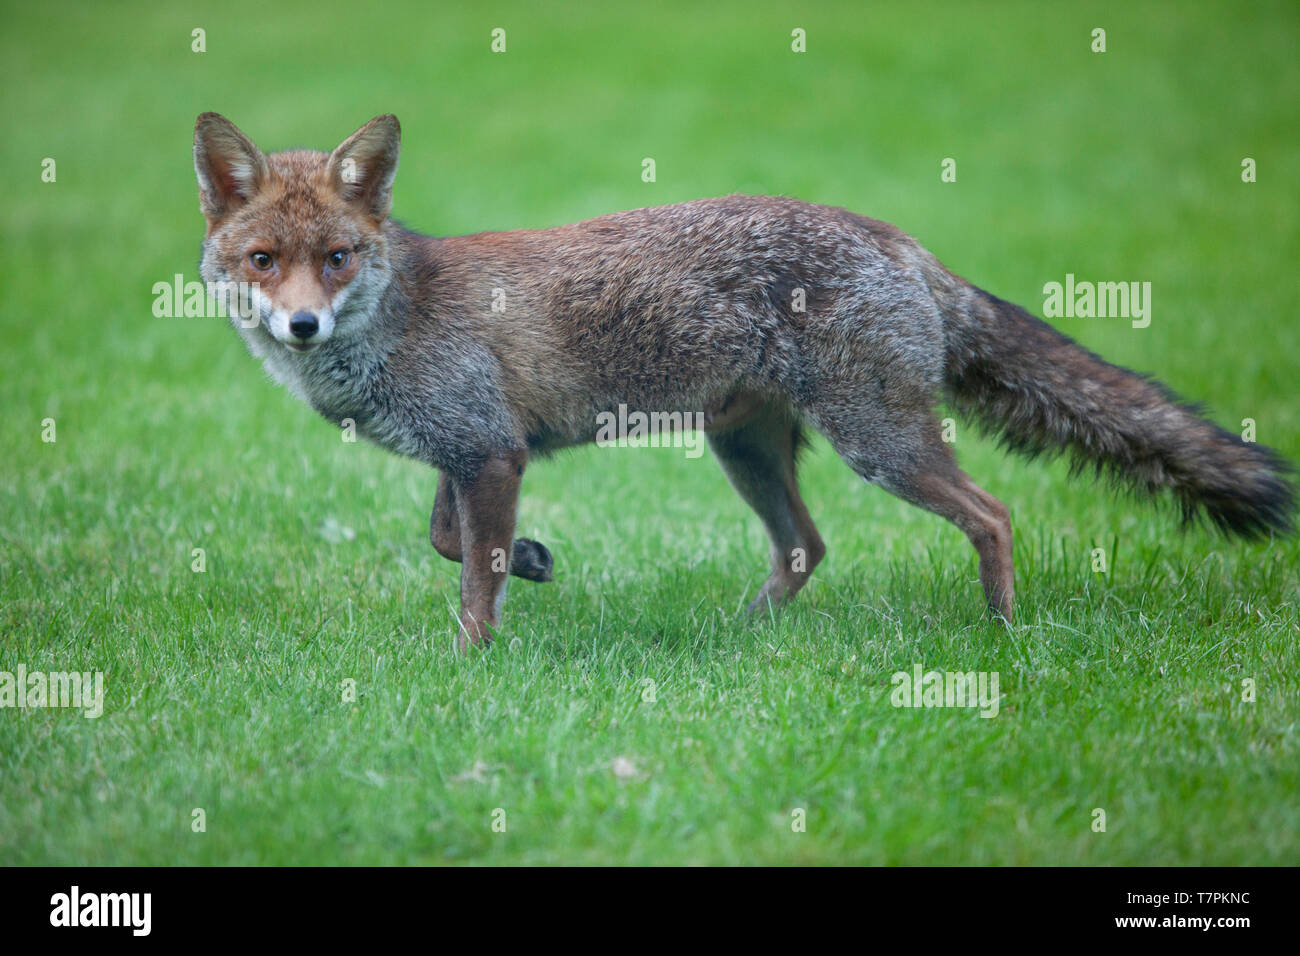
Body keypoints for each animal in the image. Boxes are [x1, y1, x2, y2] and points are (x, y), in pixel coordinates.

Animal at [194, 112, 1295, 650]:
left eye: (337, 257)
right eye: (264, 260)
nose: (300, 322)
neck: (395, 316)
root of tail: (901, 239)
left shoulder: (489, 452)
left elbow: (473, 575)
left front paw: (470, 663)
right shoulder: (475, 449)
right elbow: (449, 540)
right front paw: (537, 563)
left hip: (878, 443)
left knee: (992, 512)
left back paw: (1001, 632)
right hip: (748, 448)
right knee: (807, 546)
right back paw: (744, 635)